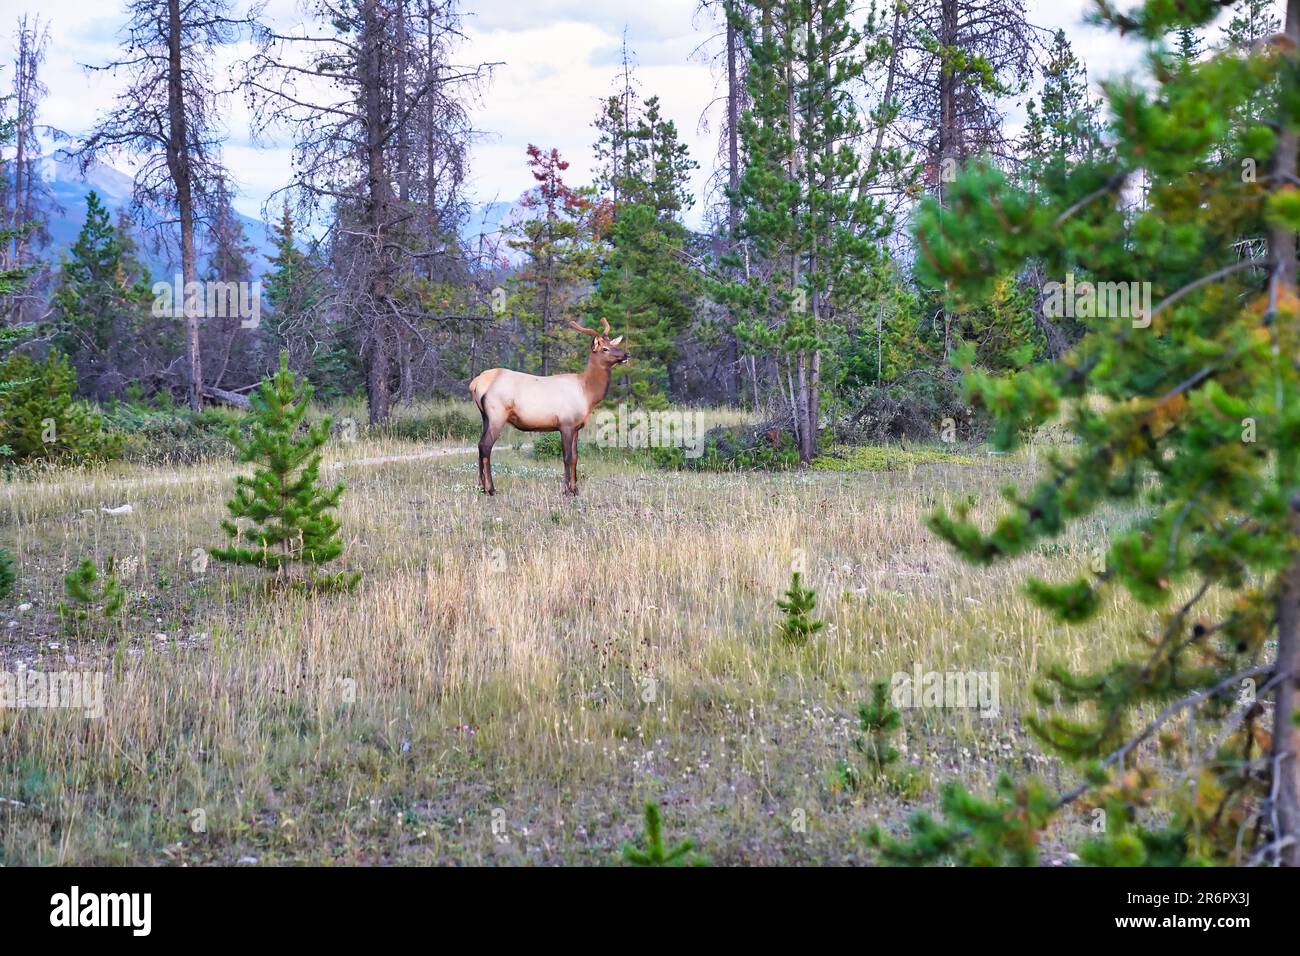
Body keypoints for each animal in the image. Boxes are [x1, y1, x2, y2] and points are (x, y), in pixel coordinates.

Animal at [468, 318, 629, 496]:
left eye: (613, 344)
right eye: (605, 348)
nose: (626, 354)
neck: (587, 393)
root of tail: (476, 383)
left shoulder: (576, 427)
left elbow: (575, 457)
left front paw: (575, 490)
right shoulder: (566, 424)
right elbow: (567, 457)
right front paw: (566, 490)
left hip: (485, 417)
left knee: (479, 444)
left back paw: (481, 487)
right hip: (497, 415)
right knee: (486, 446)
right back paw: (491, 489)